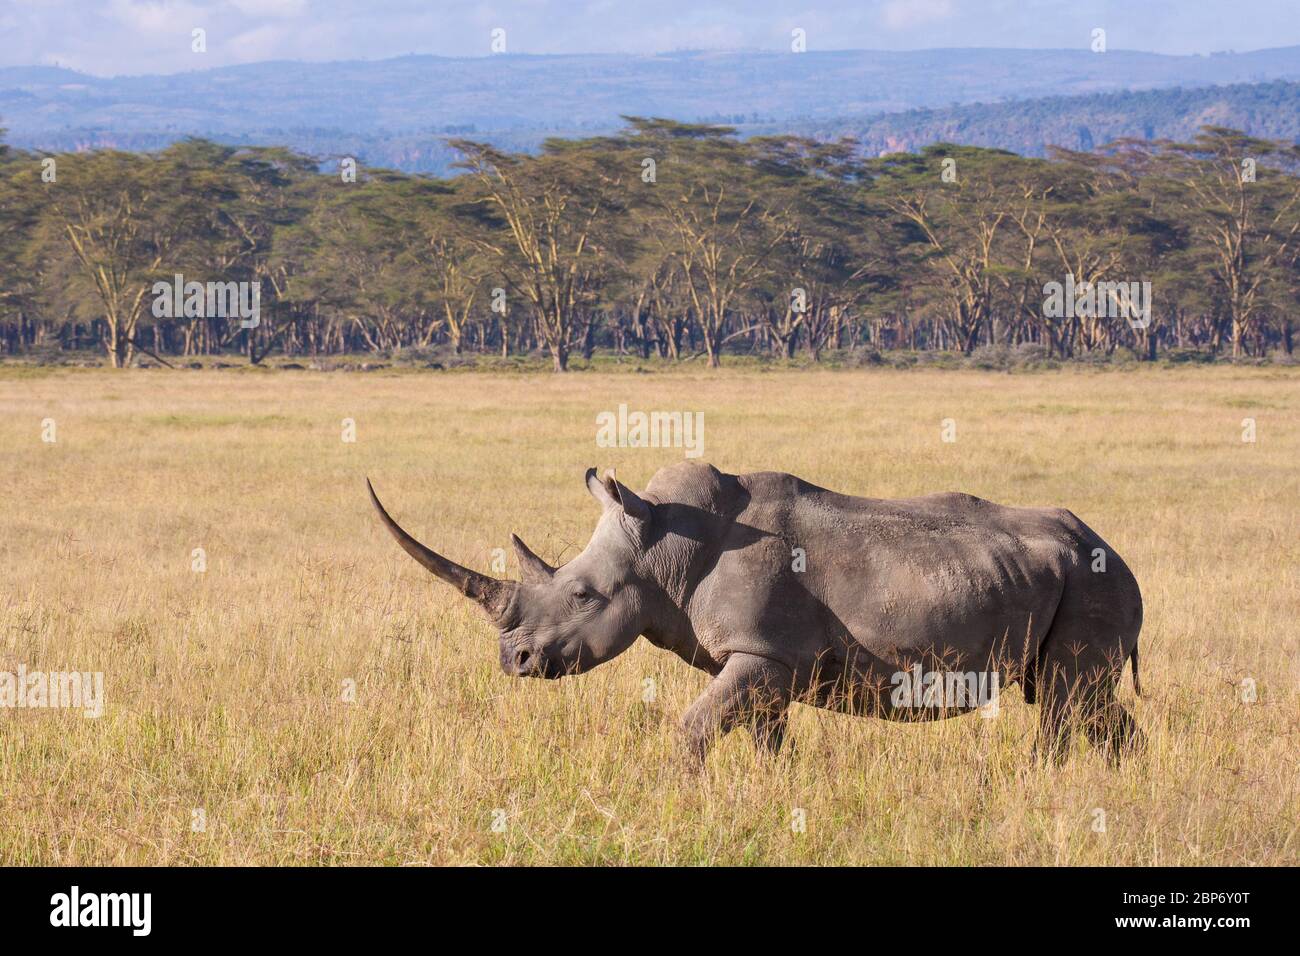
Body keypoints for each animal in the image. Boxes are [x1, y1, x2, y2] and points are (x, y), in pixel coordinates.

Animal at [368, 462, 1143, 763]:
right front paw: (777, 792)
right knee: (1083, 702)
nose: (514, 659)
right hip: (1071, 576)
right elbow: (767, 742)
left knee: (1066, 700)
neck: (664, 546)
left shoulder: (762, 652)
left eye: (584, 595)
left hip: (1092, 581)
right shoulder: (768, 661)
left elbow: (692, 728)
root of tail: (1112, 548)